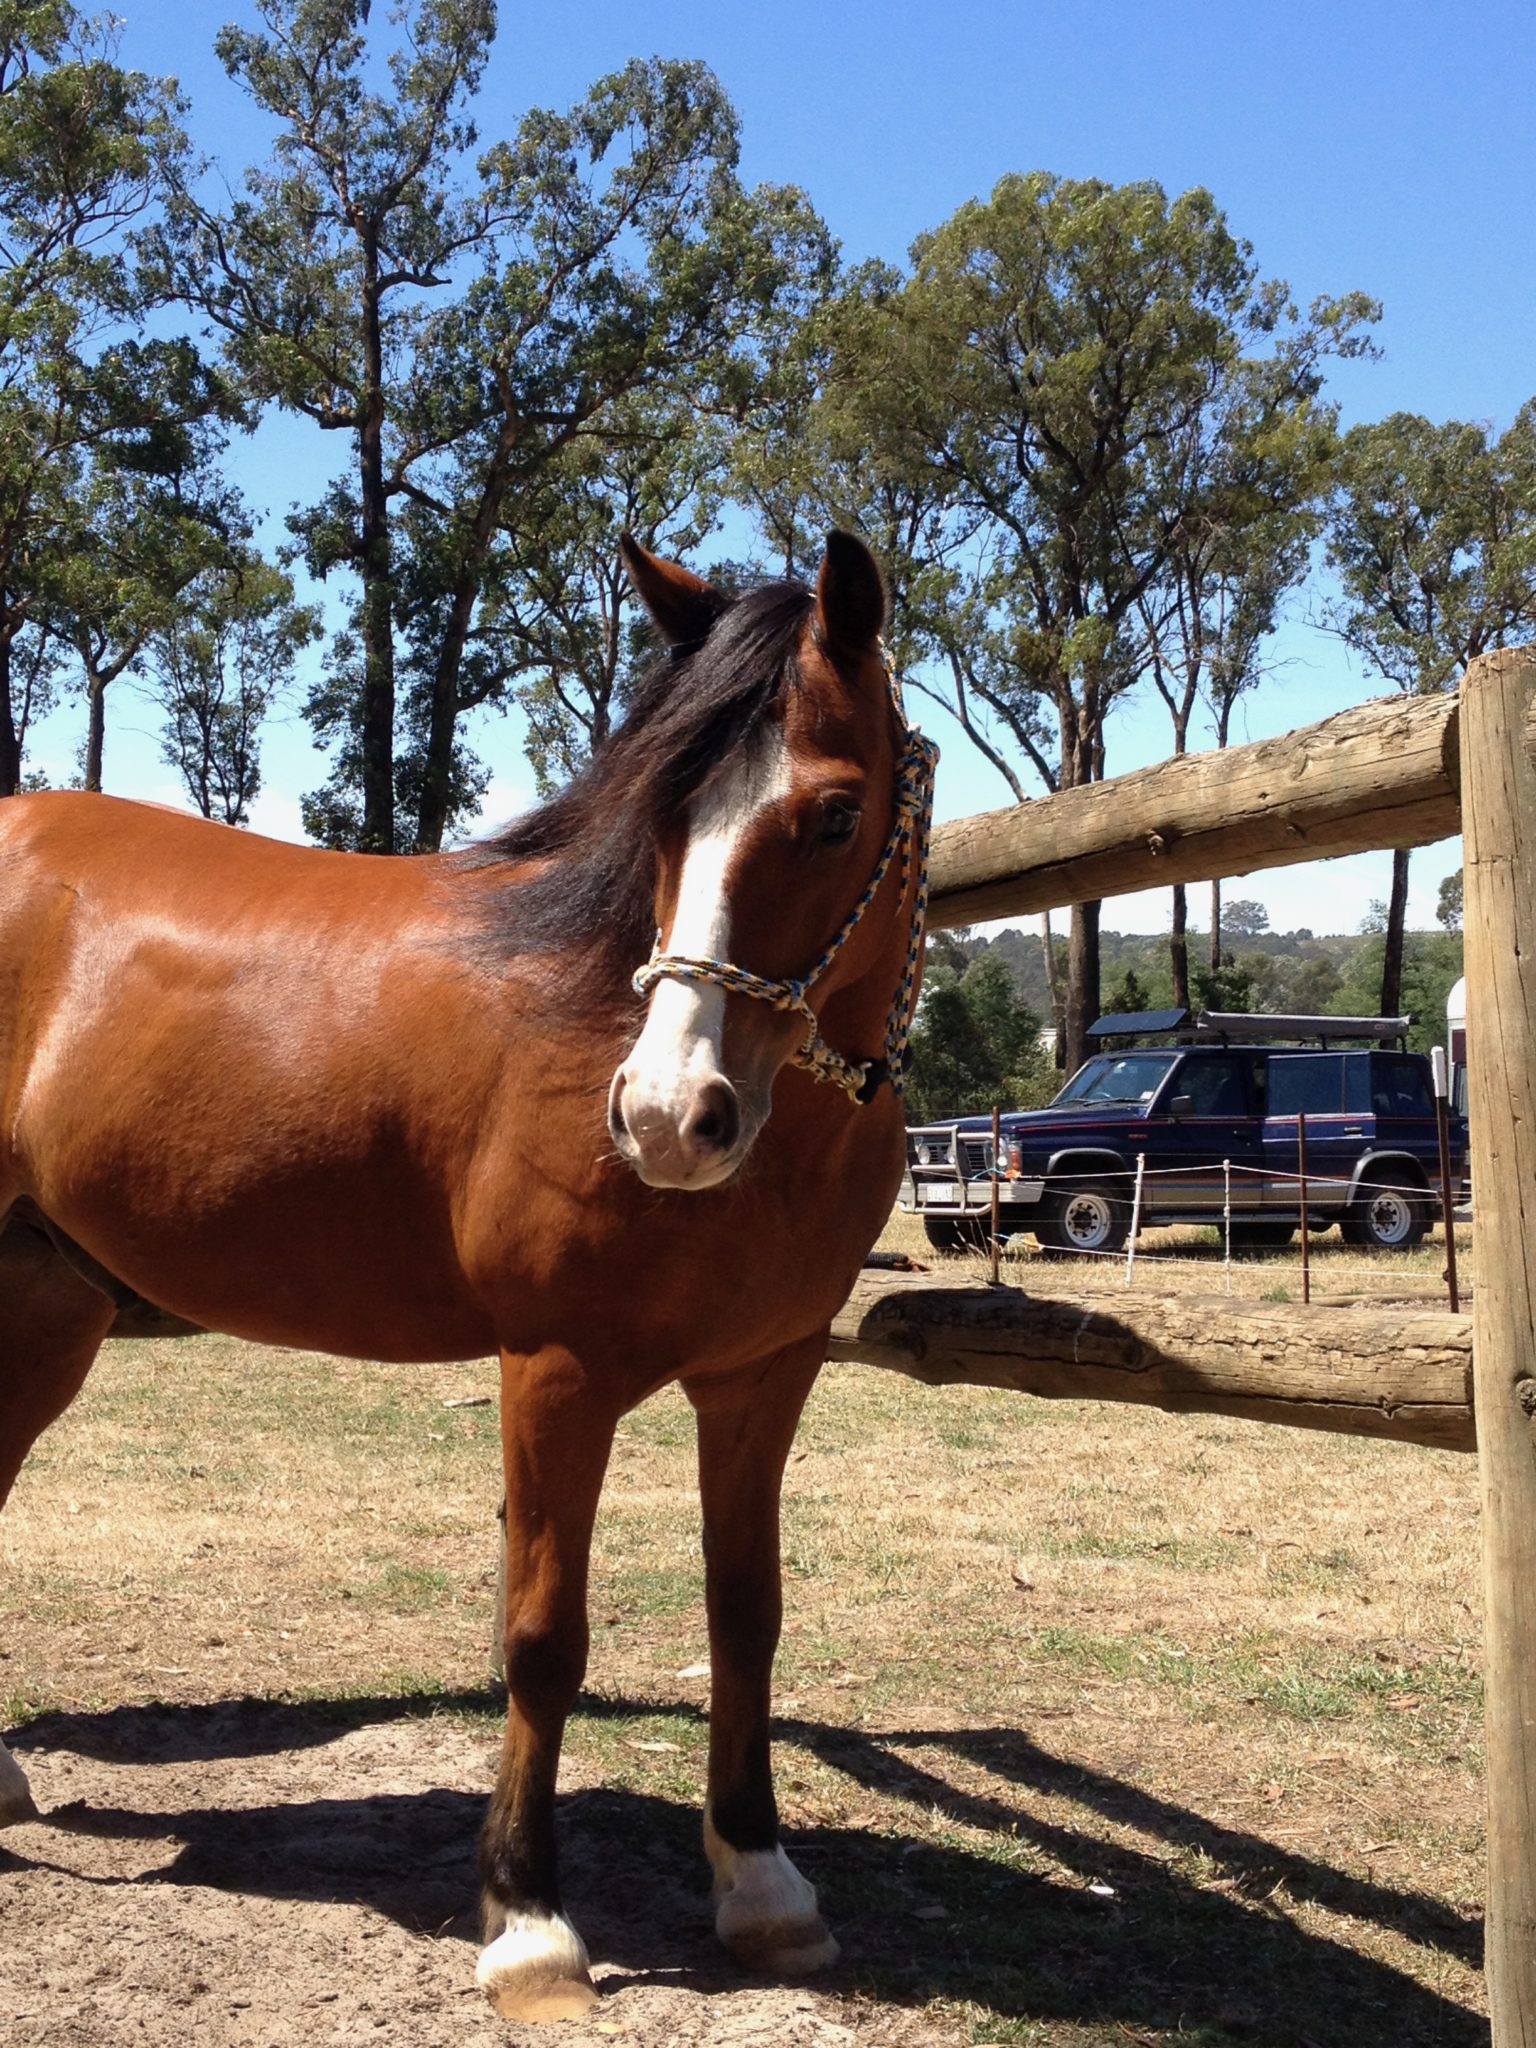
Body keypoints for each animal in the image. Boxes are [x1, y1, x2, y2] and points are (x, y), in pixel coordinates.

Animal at [0, 529, 937, 2021]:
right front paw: (528, 1921)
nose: (666, 1116)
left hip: (45, 1301)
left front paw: (762, 1884)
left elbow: (749, 1616)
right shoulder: (555, 1371)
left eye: (837, 816)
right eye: (663, 820)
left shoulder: (761, 1378)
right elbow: (542, 1639)